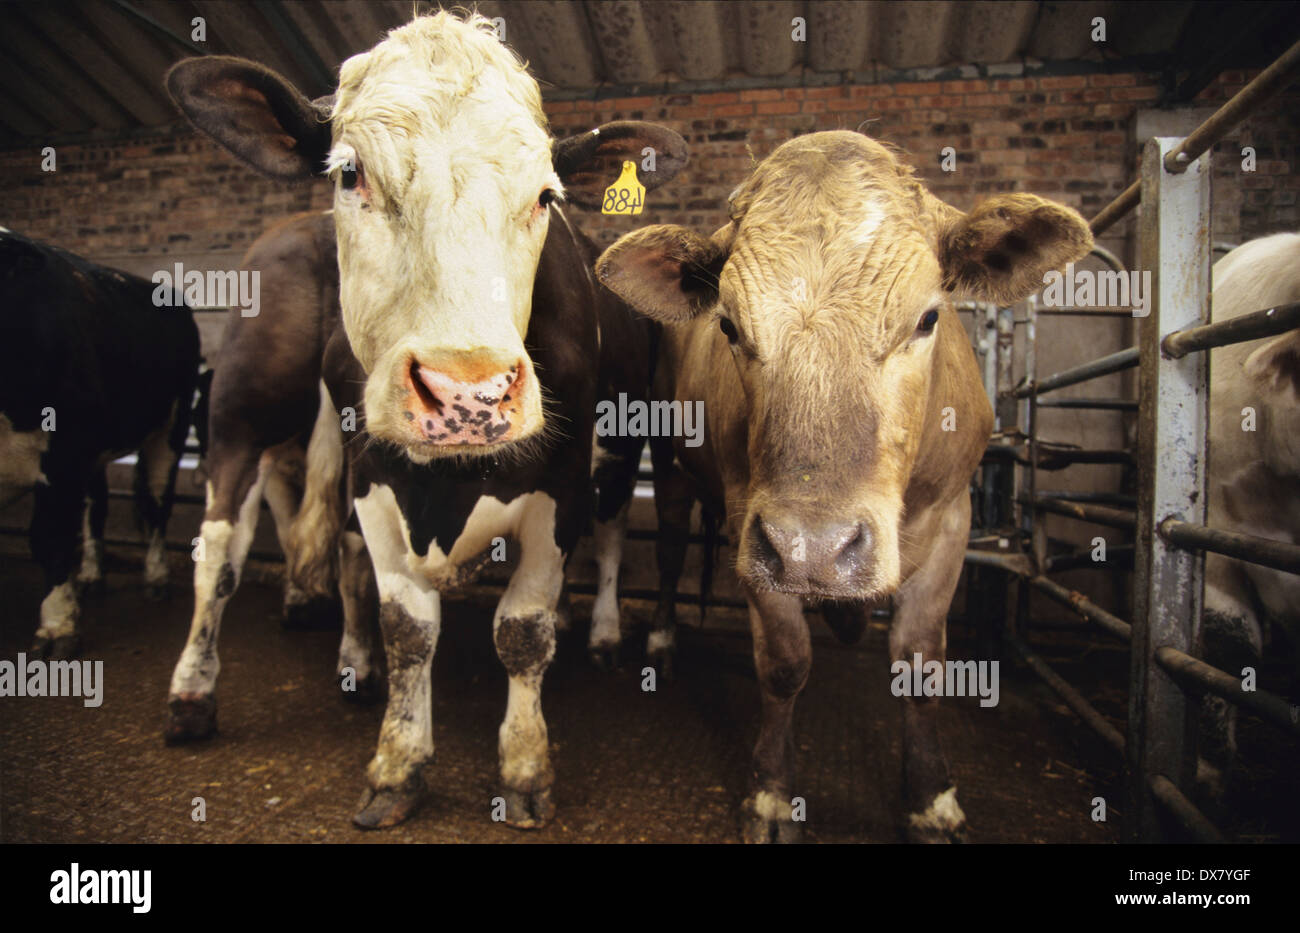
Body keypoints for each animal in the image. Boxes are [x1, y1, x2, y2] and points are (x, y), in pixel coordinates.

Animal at [0, 229, 200, 658]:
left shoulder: (64, 452)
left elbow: (51, 538)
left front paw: (57, 627)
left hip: (169, 429)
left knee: (156, 503)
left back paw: (156, 578)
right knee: (97, 507)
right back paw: (92, 575)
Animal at [161, 11, 686, 829]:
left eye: (546, 196)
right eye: (350, 173)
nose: (468, 391)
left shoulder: (563, 485)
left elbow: (524, 628)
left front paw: (525, 767)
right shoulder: (375, 481)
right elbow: (409, 628)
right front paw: (398, 764)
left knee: (606, 539)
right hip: (239, 415)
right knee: (221, 549)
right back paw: (200, 689)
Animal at [596, 130, 1093, 842]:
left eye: (927, 318)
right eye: (729, 326)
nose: (815, 547)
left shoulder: (953, 519)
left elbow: (920, 661)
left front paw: (931, 797)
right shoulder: (755, 534)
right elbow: (784, 663)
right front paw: (772, 793)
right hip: (666, 463)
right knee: (667, 551)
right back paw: (661, 641)